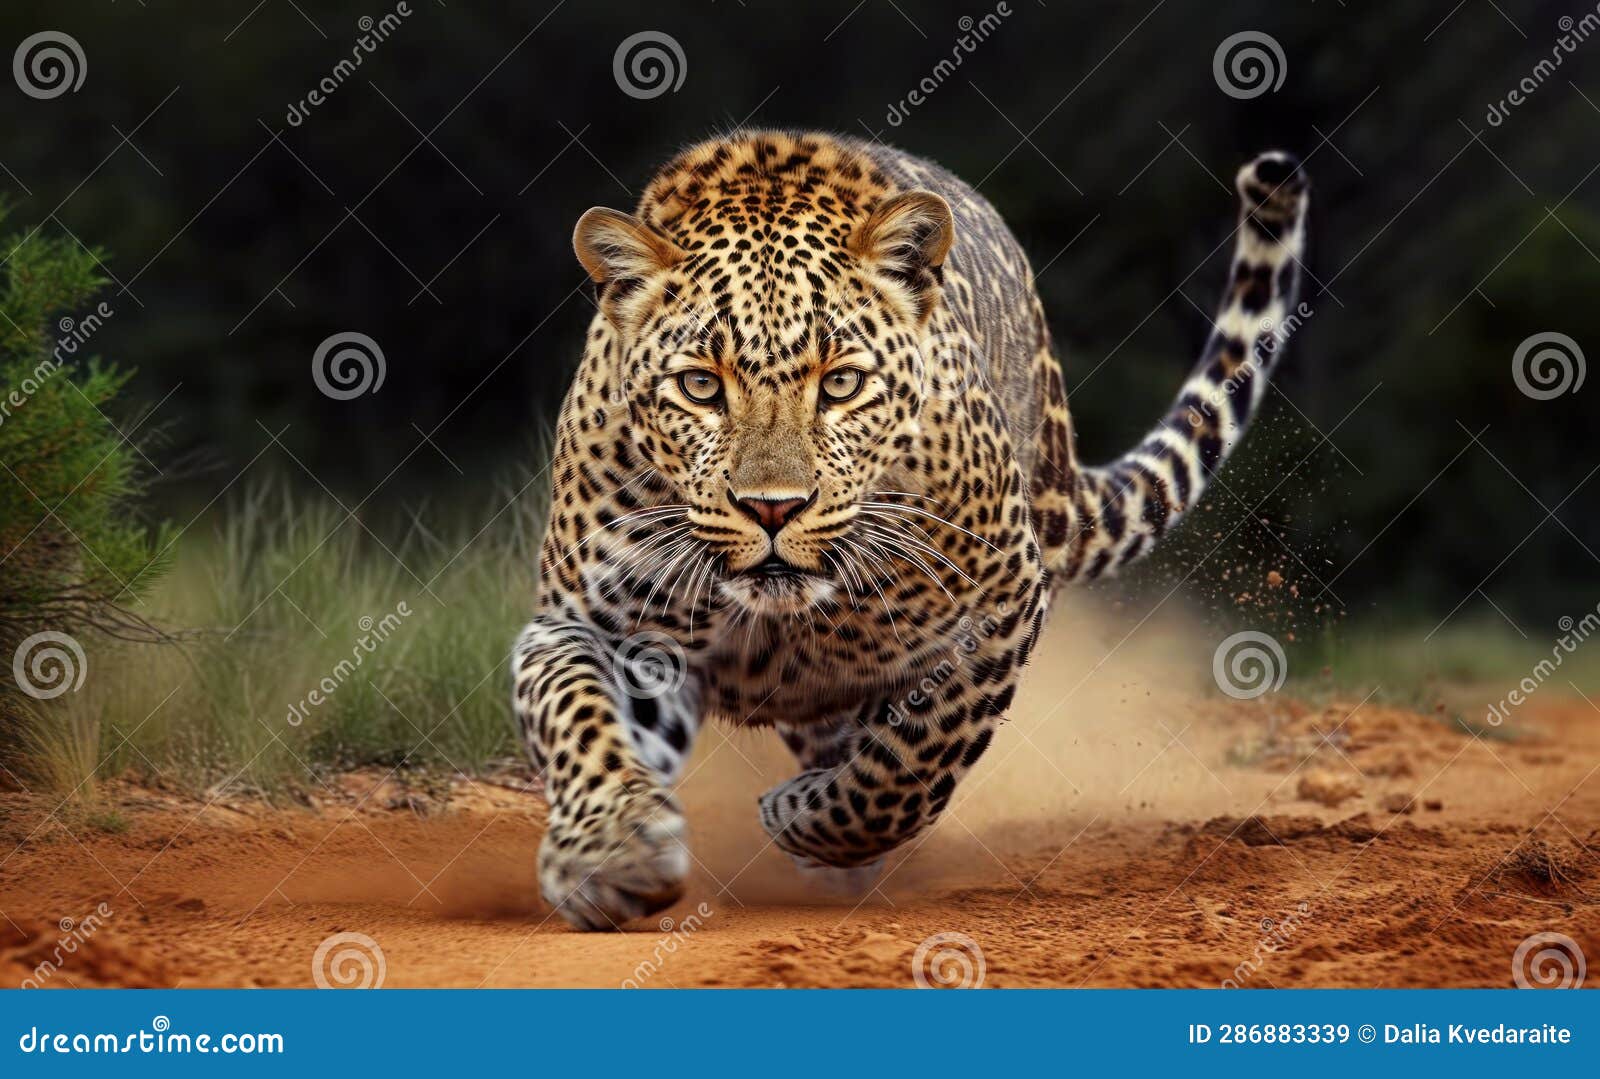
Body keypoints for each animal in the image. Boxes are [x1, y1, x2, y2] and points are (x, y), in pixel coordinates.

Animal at [512, 130, 1309, 930]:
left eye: (841, 383)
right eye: (700, 386)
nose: (772, 507)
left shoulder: (1000, 604)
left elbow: (913, 760)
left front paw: (800, 818)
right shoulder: (592, 624)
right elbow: (574, 713)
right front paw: (610, 851)